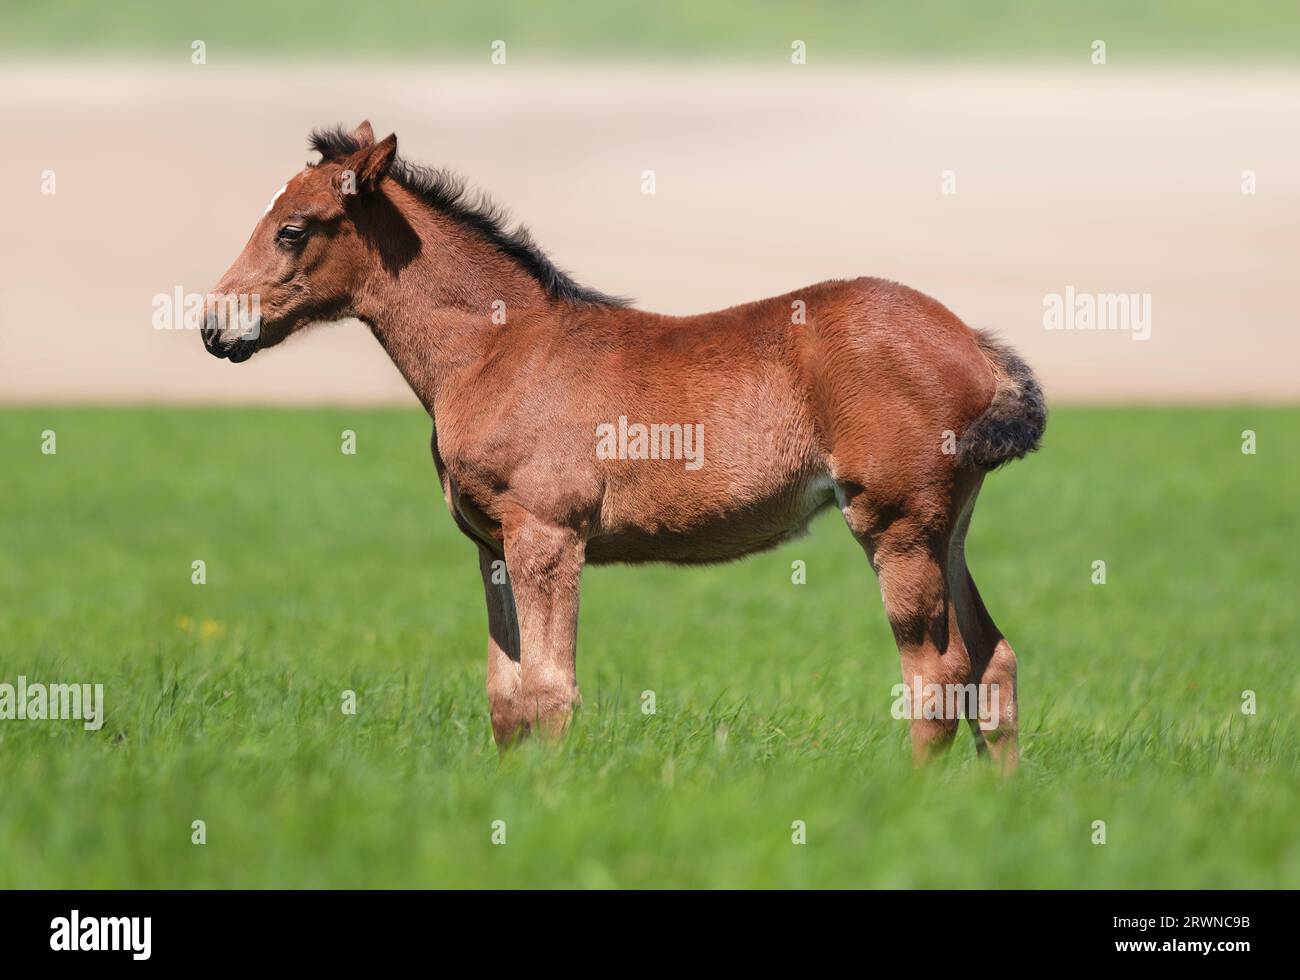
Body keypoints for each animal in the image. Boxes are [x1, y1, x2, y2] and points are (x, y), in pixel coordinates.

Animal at [202, 121, 1046, 770]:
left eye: (293, 228)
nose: (213, 326)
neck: (496, 352)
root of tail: (973, 345)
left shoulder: (547, 536)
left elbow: (549, 688)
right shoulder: (491, 545)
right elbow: (505, 696)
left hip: (896, 526)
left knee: (938, 674)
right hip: (947, 529)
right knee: (992, 661)